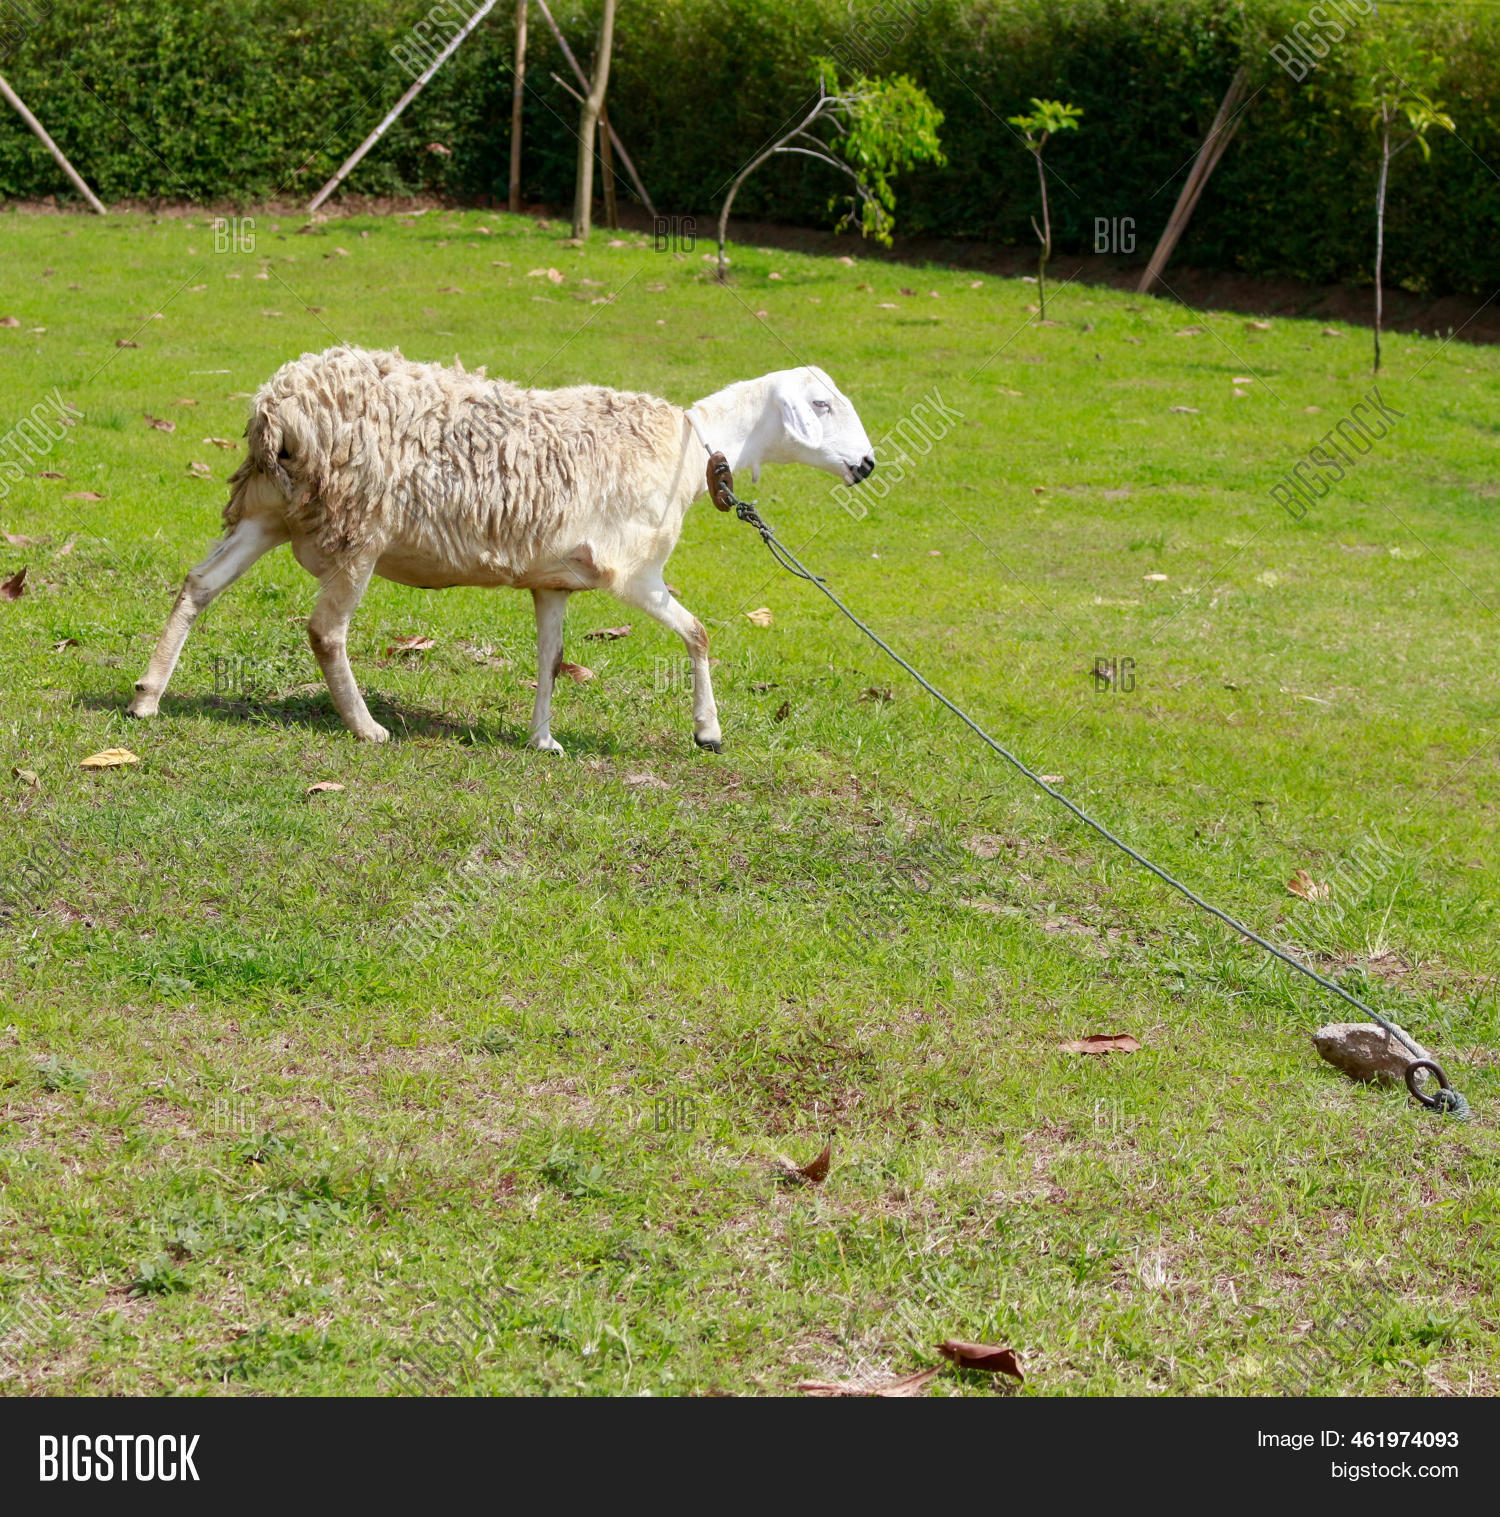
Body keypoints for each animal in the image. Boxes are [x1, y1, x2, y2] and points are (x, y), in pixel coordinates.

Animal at [126, 346, 875, 753]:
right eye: (821, 404)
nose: (866, 465)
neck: (697, 448)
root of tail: (277, 408)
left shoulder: (554, 579)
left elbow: (551, 657)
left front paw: (543, 738)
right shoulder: (633, 573)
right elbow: (698, 634)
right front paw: (707, 731)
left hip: (268, 512)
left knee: (199, 584)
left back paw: (146, 697)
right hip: (358, 526)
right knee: (325, 629)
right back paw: (367, 728)